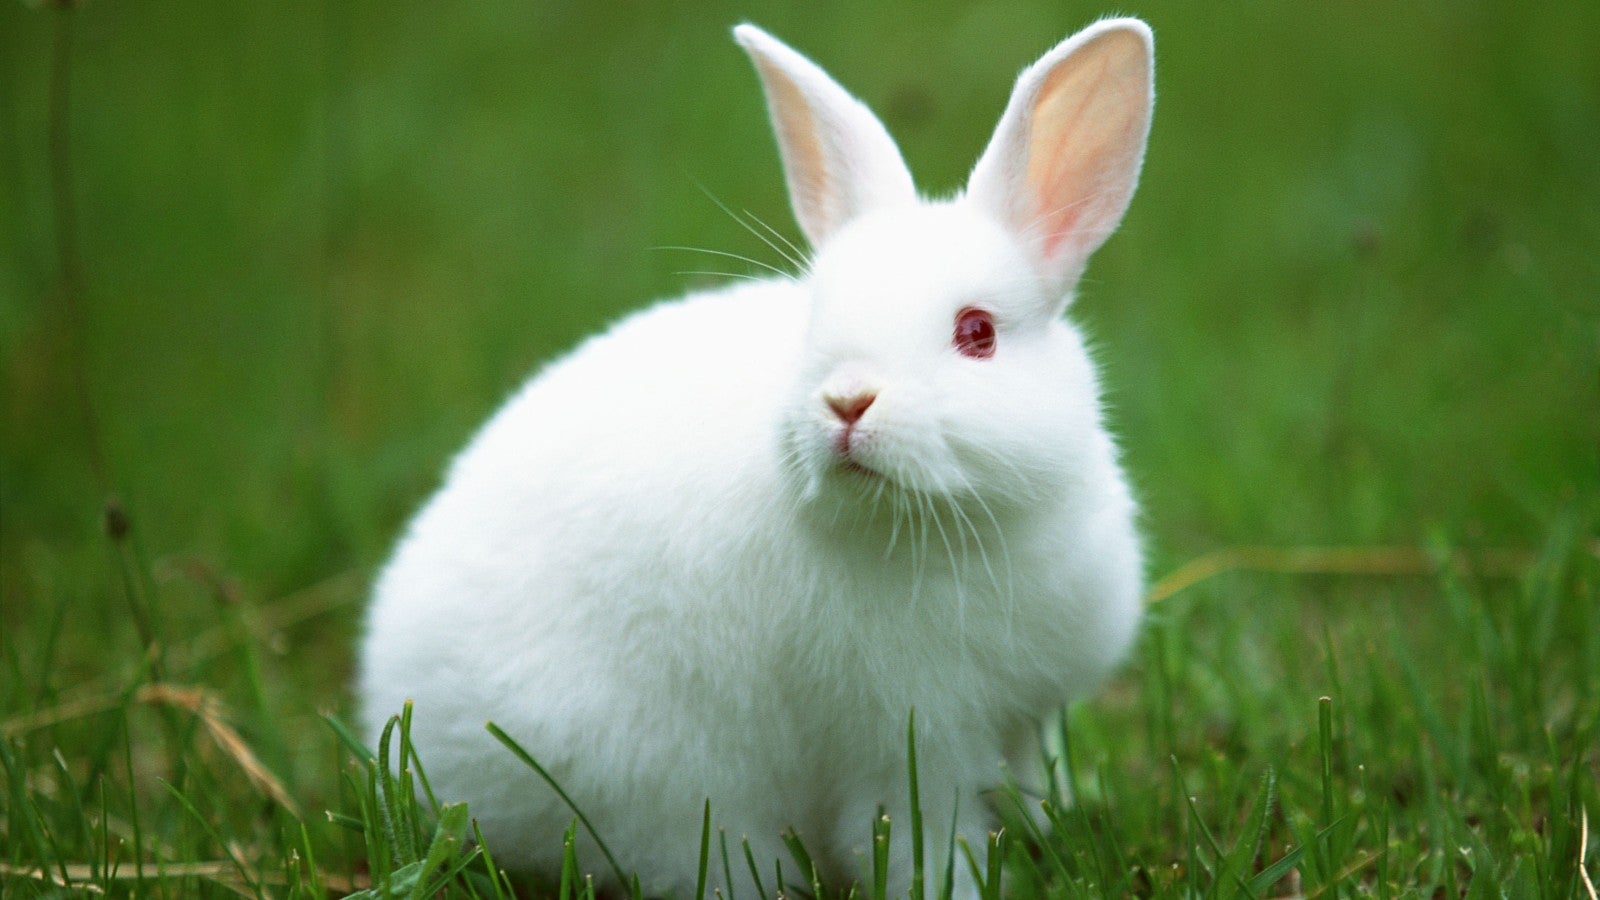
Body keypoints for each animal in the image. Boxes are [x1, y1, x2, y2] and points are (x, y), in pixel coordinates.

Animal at [358, 16, 1153, 900]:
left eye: (977, 332)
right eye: (815, 321)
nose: (846, 403)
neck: (955, 529)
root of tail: (399, 703)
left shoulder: (1023, 720)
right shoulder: (901, 741)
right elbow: (918, 839)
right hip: (663, 788)